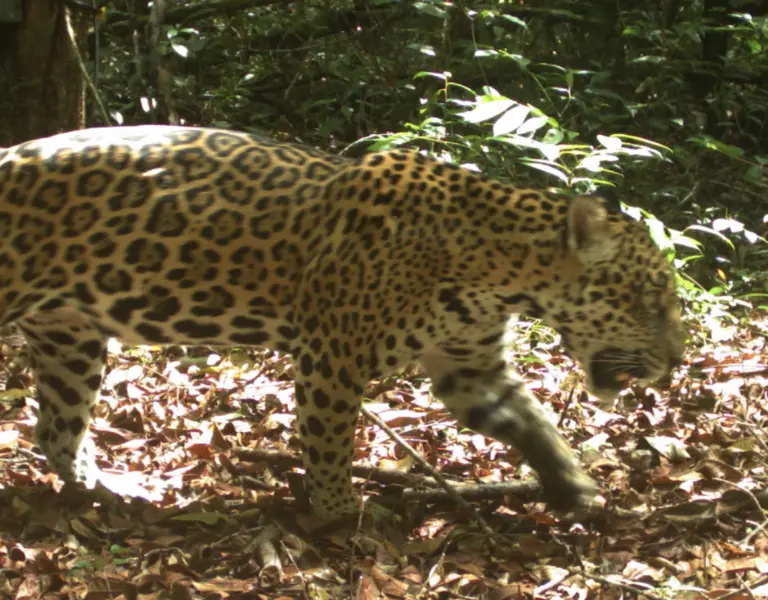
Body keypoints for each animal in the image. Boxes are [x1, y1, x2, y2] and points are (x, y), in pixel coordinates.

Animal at [0, 125, 685, 518]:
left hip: (70, 336)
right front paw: (340, 512)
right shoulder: (332, 354)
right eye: (651, 298)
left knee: (55, 429)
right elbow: (329, 441)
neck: (499, 269)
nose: (678, 363)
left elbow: (533, 422)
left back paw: (108, 488)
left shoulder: (472, 366)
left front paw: (575, 486)